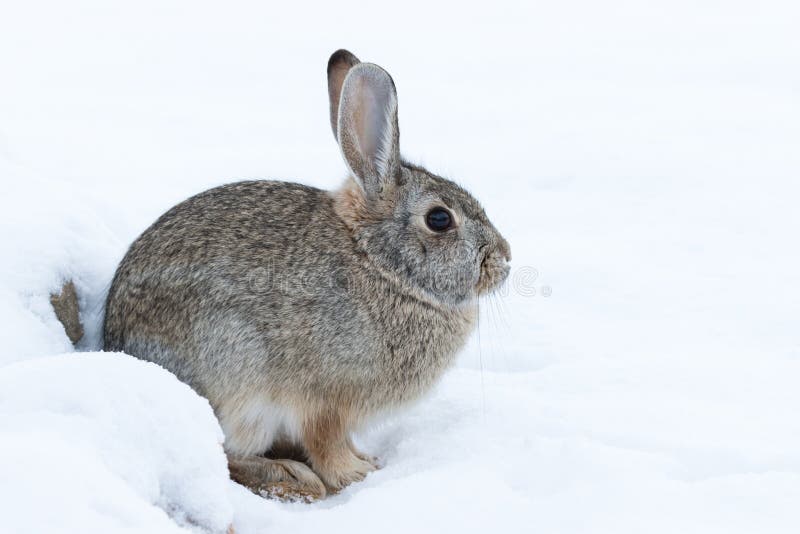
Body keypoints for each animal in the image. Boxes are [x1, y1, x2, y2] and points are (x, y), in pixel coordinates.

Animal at [103, 49, 511, 500]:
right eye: (439, 219)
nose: (505, 260)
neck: (381, 265)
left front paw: (366, 461)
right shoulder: (323, 399)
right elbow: (326, 443)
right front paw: (356, 474)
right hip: (234, 374)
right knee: (223, 453)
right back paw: (290, 477)